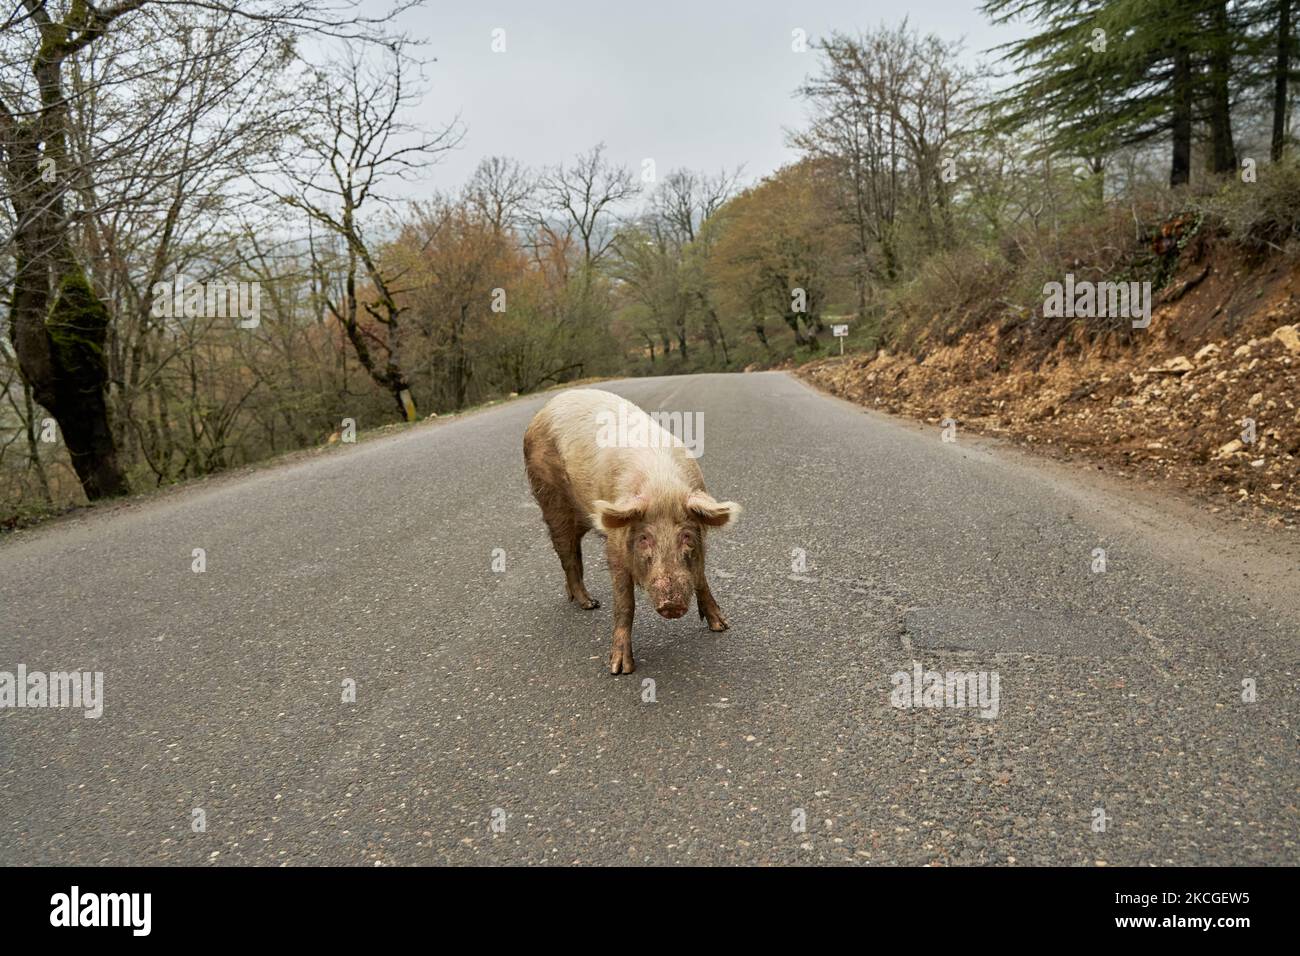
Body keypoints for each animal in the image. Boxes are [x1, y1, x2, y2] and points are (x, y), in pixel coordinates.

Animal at [523, 388, 741, 674]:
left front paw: (722, 626)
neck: (662, 486)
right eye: (645, 538)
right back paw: (590, 604)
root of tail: (544, 409)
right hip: (550, 498)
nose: (672, 604)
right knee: (567, 554)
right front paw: (619, 669)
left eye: (686, 536)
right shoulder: (616, 545)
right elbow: (625, 603)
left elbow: (701, 578)